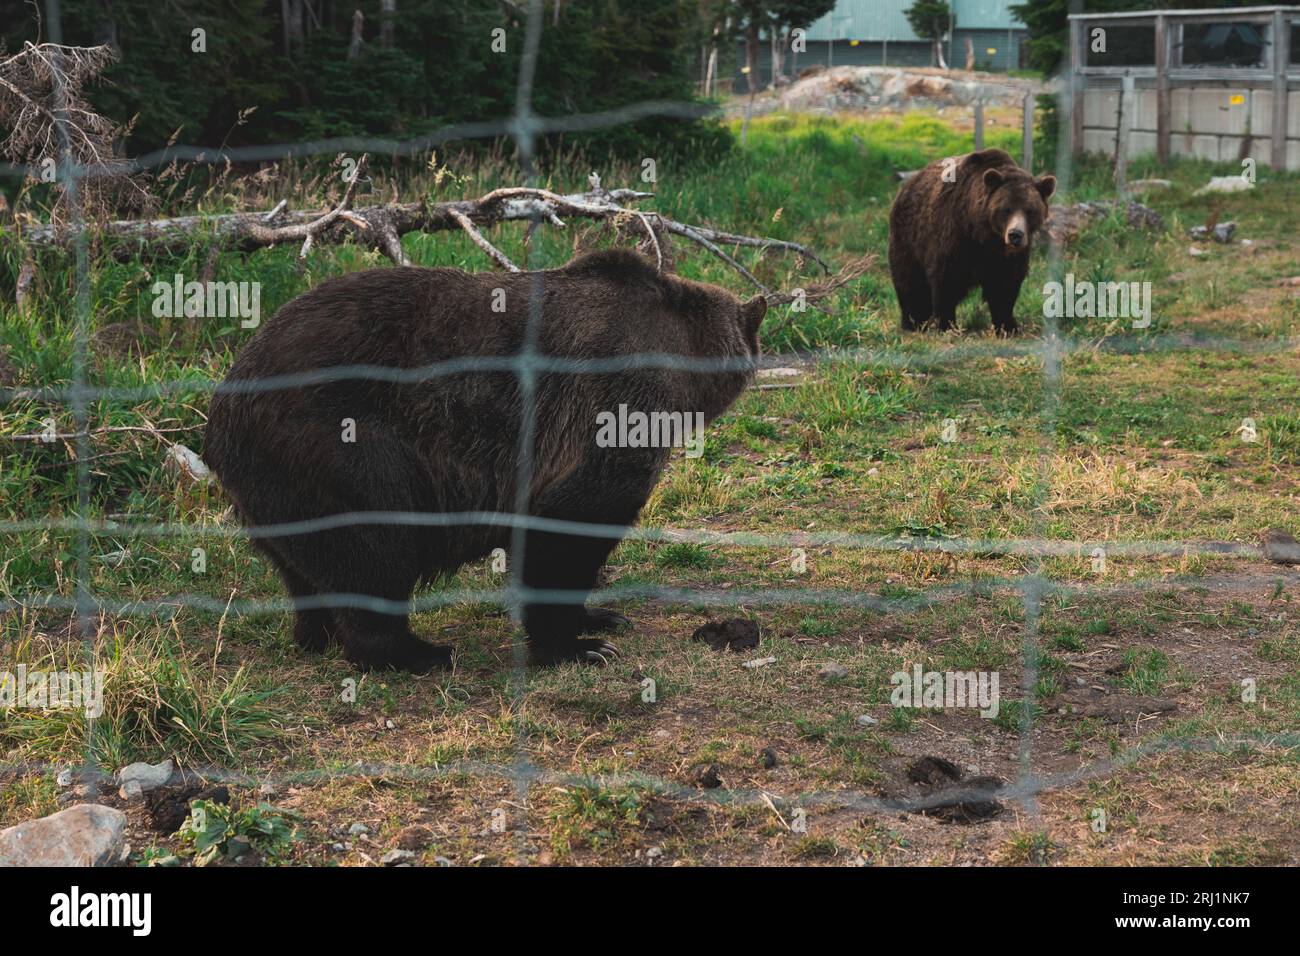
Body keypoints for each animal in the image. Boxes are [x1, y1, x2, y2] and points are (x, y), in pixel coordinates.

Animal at [203, 249, 767, 672]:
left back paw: (314, 632)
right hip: (339, 444)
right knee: (375, 547)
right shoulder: (612, 413)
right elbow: (568, 528)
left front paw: (601, 619)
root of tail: (222, 403)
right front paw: (579, 647)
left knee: (309, 565)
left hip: (278, 483)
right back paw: (418, 653)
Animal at [888, 148, 1055, 335]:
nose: (1015, 234)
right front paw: (947, 325)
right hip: (909, 238)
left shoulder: (1008, 256)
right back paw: (913, 322)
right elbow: (946, 279)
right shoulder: (954, 237)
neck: (985, 237)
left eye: (1030, 210)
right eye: (1006, 209)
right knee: (909, 281)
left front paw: (1008, 326)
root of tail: (907, 185)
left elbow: (1005, 286)